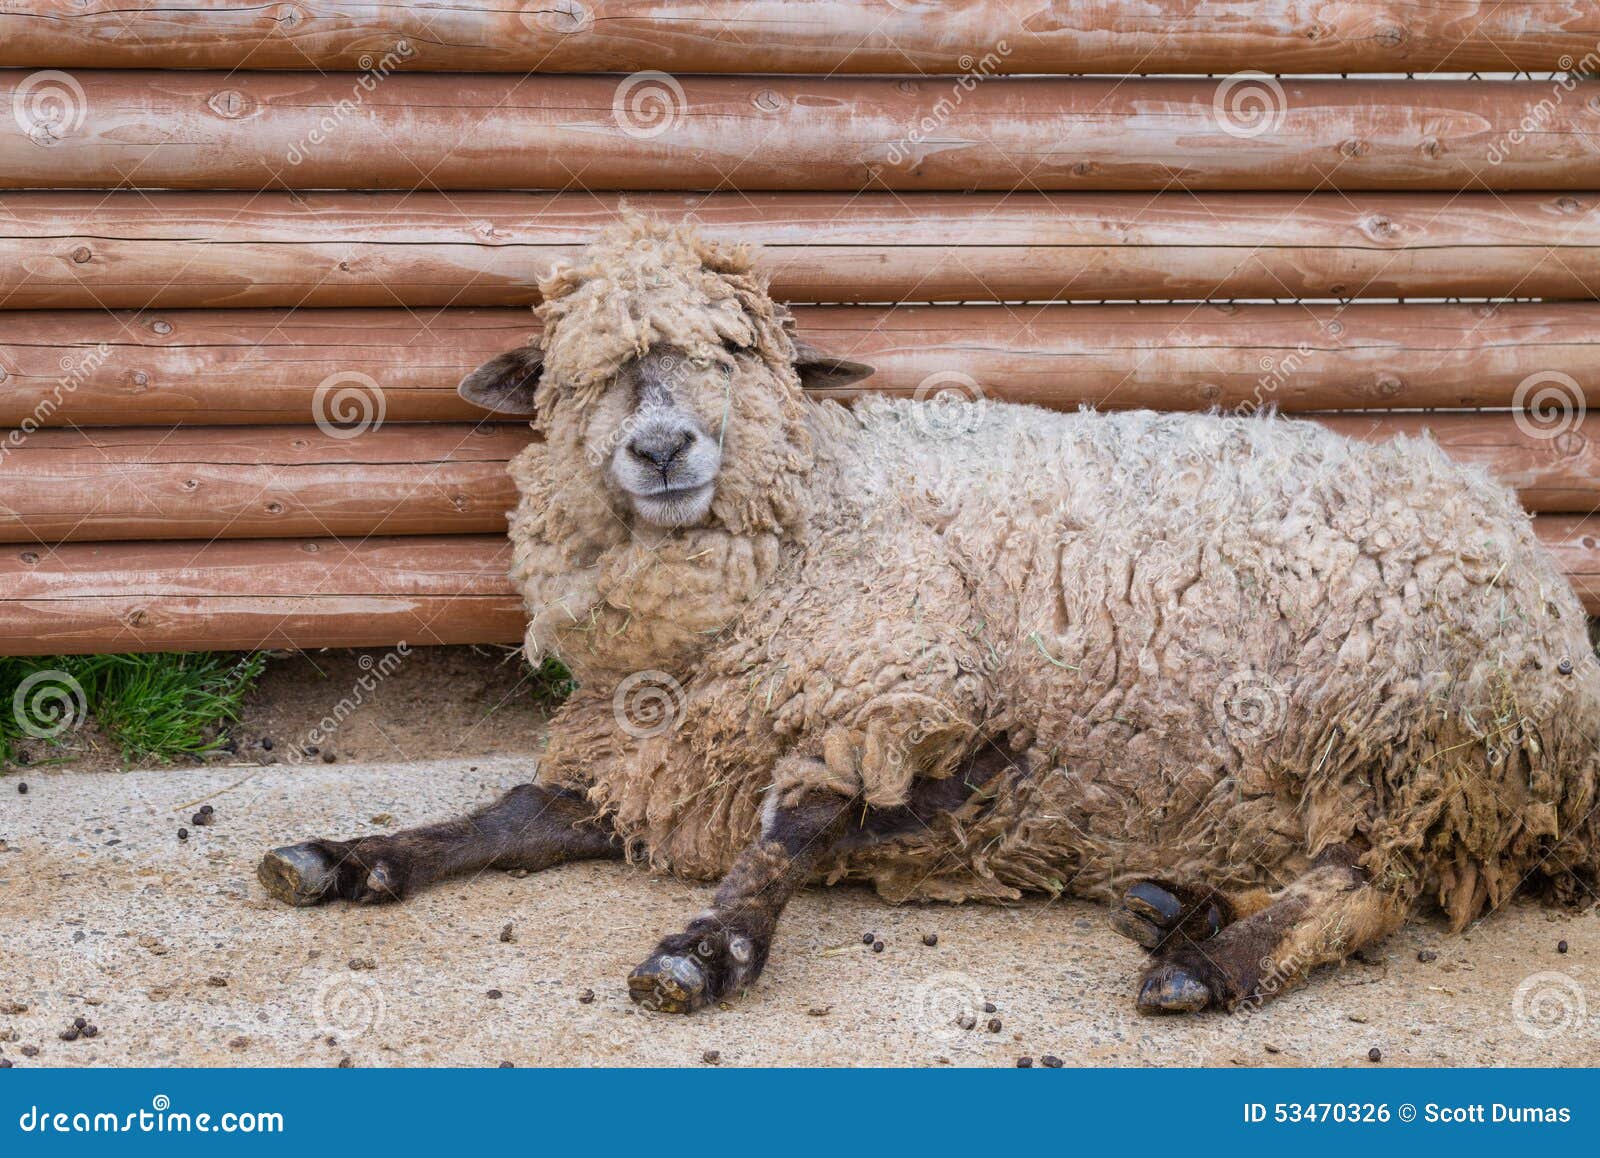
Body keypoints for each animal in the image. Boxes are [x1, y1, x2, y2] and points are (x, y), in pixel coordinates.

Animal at [259, 216, 1600, 1017]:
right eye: (581, 373)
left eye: (738, 352)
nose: (662, 447)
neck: (823, 513)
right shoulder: (668, 753)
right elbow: (501, 819)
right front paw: (356, 855)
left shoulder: (898, 684)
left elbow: (793, 831)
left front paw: (707, 946)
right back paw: (1177, 905)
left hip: (1410, 734)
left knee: (1373, 882)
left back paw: (1207, 963)